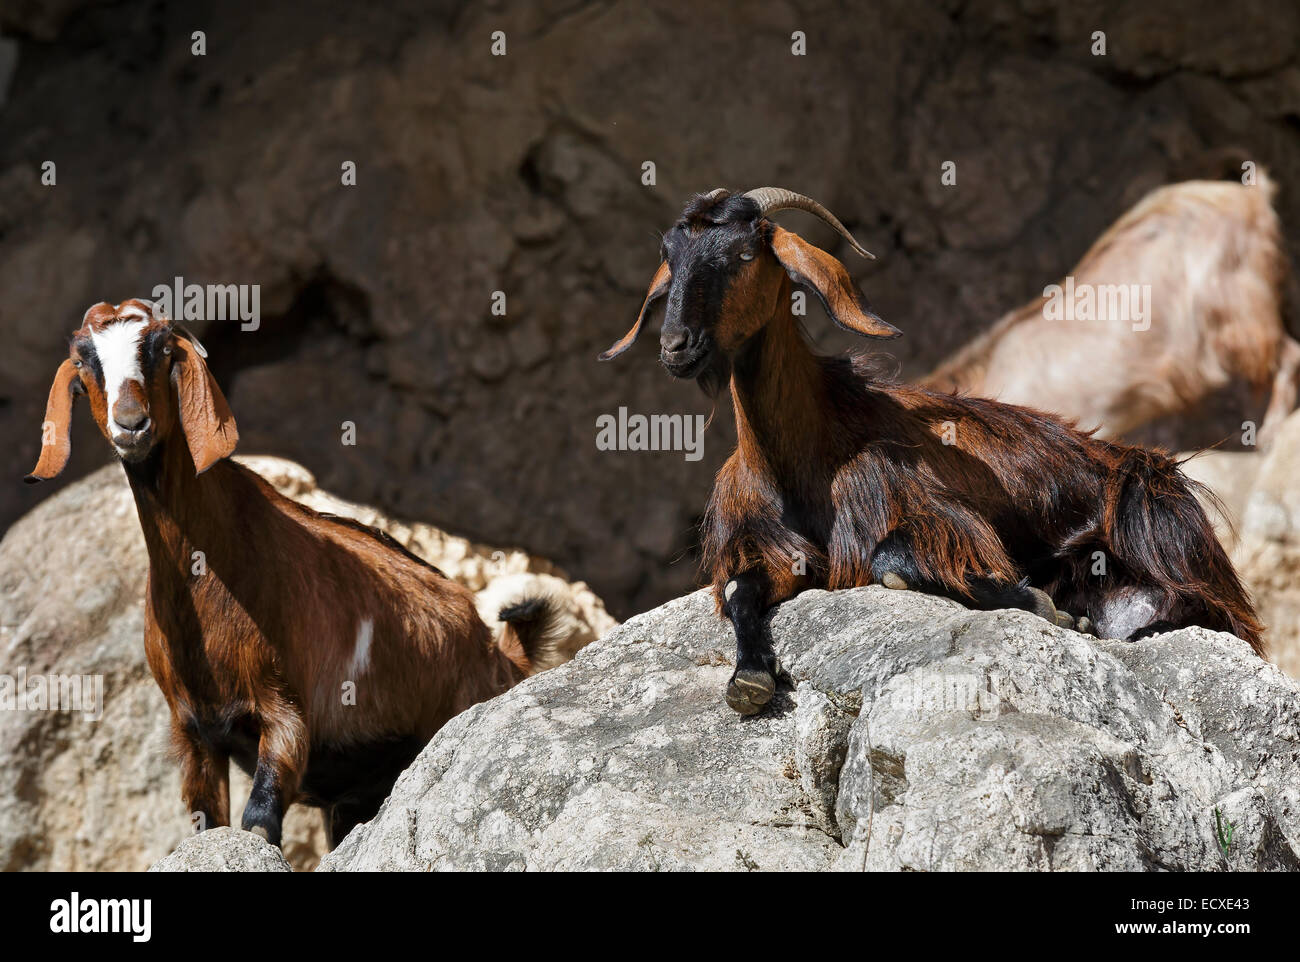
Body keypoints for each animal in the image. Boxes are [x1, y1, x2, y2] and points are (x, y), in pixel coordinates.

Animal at [26, 300, 582, 847]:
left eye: (162, 348)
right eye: (83, 360)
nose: (131, 424)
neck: (209, 577)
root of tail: (500, 654)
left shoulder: (287, 712)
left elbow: (259, 823)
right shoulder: (193, 732)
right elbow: (210, 823)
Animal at [601, 188, 1264, 716]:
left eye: (743, 254)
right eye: (671, 256)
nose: (676, 345)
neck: (799, 457)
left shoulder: (924, 511)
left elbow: (894, 561)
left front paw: (1043, 605)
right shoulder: (763, 541)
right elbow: (743, 592)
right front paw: (749, 678)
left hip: (1149, 512)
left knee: (1207, 611)